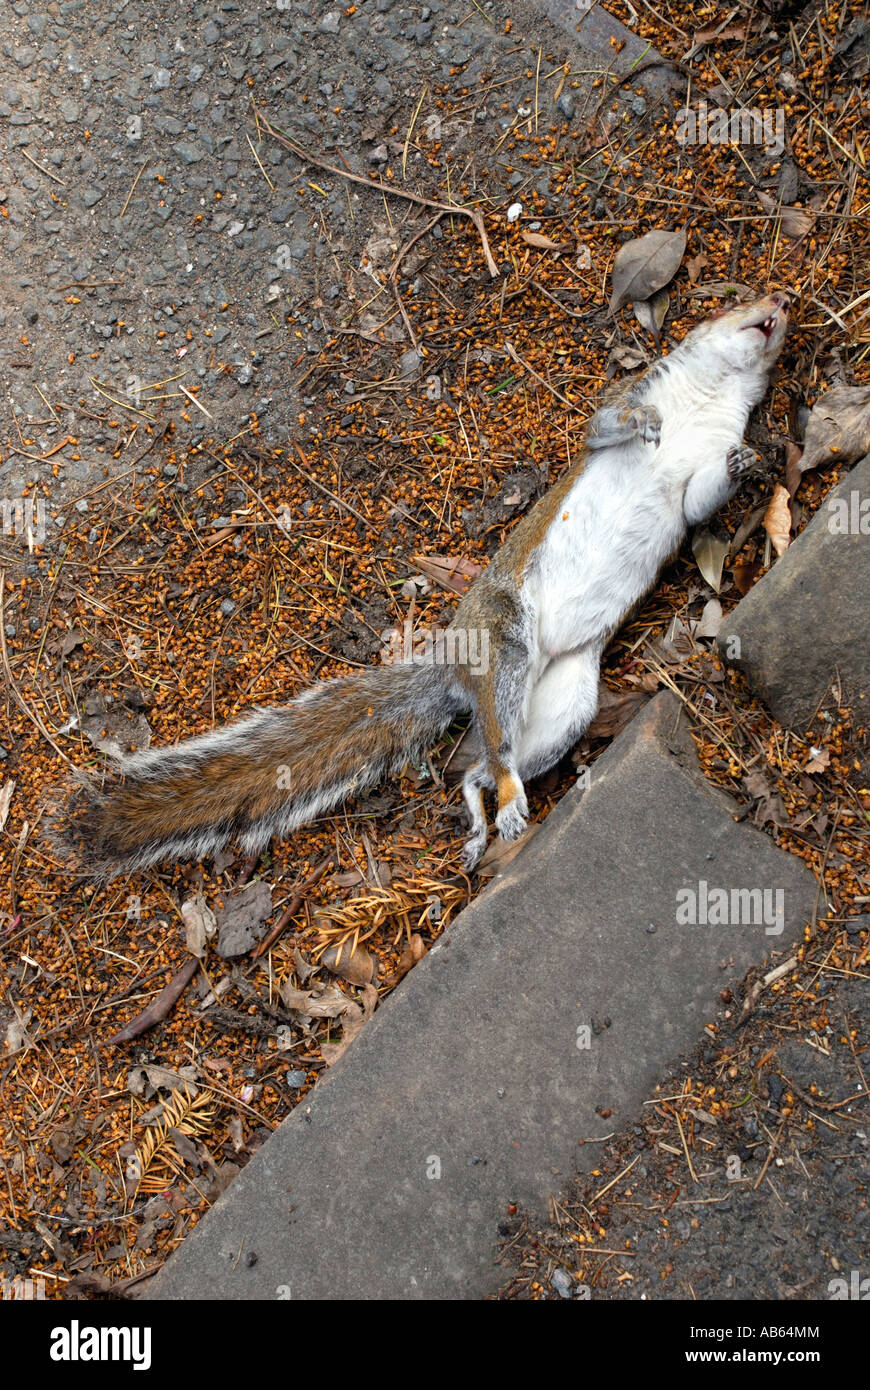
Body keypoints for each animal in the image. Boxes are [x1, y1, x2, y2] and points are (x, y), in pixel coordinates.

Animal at [55, 292, 789, 880]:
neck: (709, 395)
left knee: (481, 763)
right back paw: (502, 803)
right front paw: (643, 428)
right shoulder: (623, 400)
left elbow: (698, 500)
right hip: (507, 633)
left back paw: (486, 814)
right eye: (735, 300)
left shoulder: (693, 487)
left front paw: (746, 460)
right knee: (493, 748)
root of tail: (455, 663)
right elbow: (602, 425)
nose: (781, 304)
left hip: (566, 700)